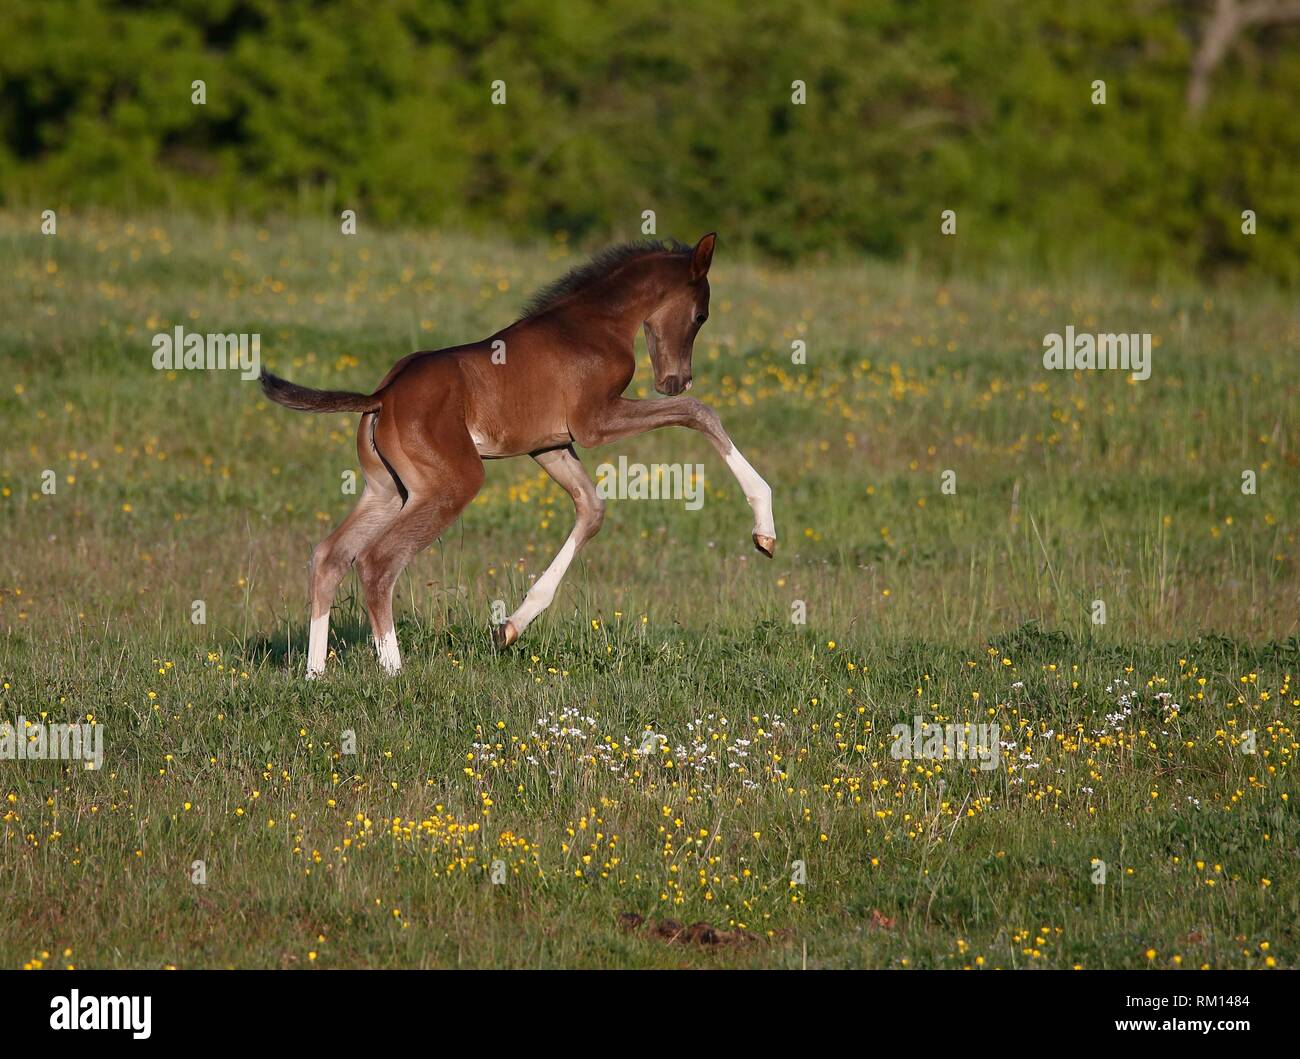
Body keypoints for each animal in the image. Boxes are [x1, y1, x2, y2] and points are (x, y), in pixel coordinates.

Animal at [260, 233, 776, 678]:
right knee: (376, 560)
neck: (594, 324)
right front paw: (764, 531)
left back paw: (314, 673)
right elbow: (699, 413)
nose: (676, 380)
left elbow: (592, 508)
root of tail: (383, 394)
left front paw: (509, 627)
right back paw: (394, 671)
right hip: (453, 482)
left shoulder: (549, 445)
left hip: (387, 490)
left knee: (329, 556)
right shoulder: (594, 422)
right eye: (701, 316)